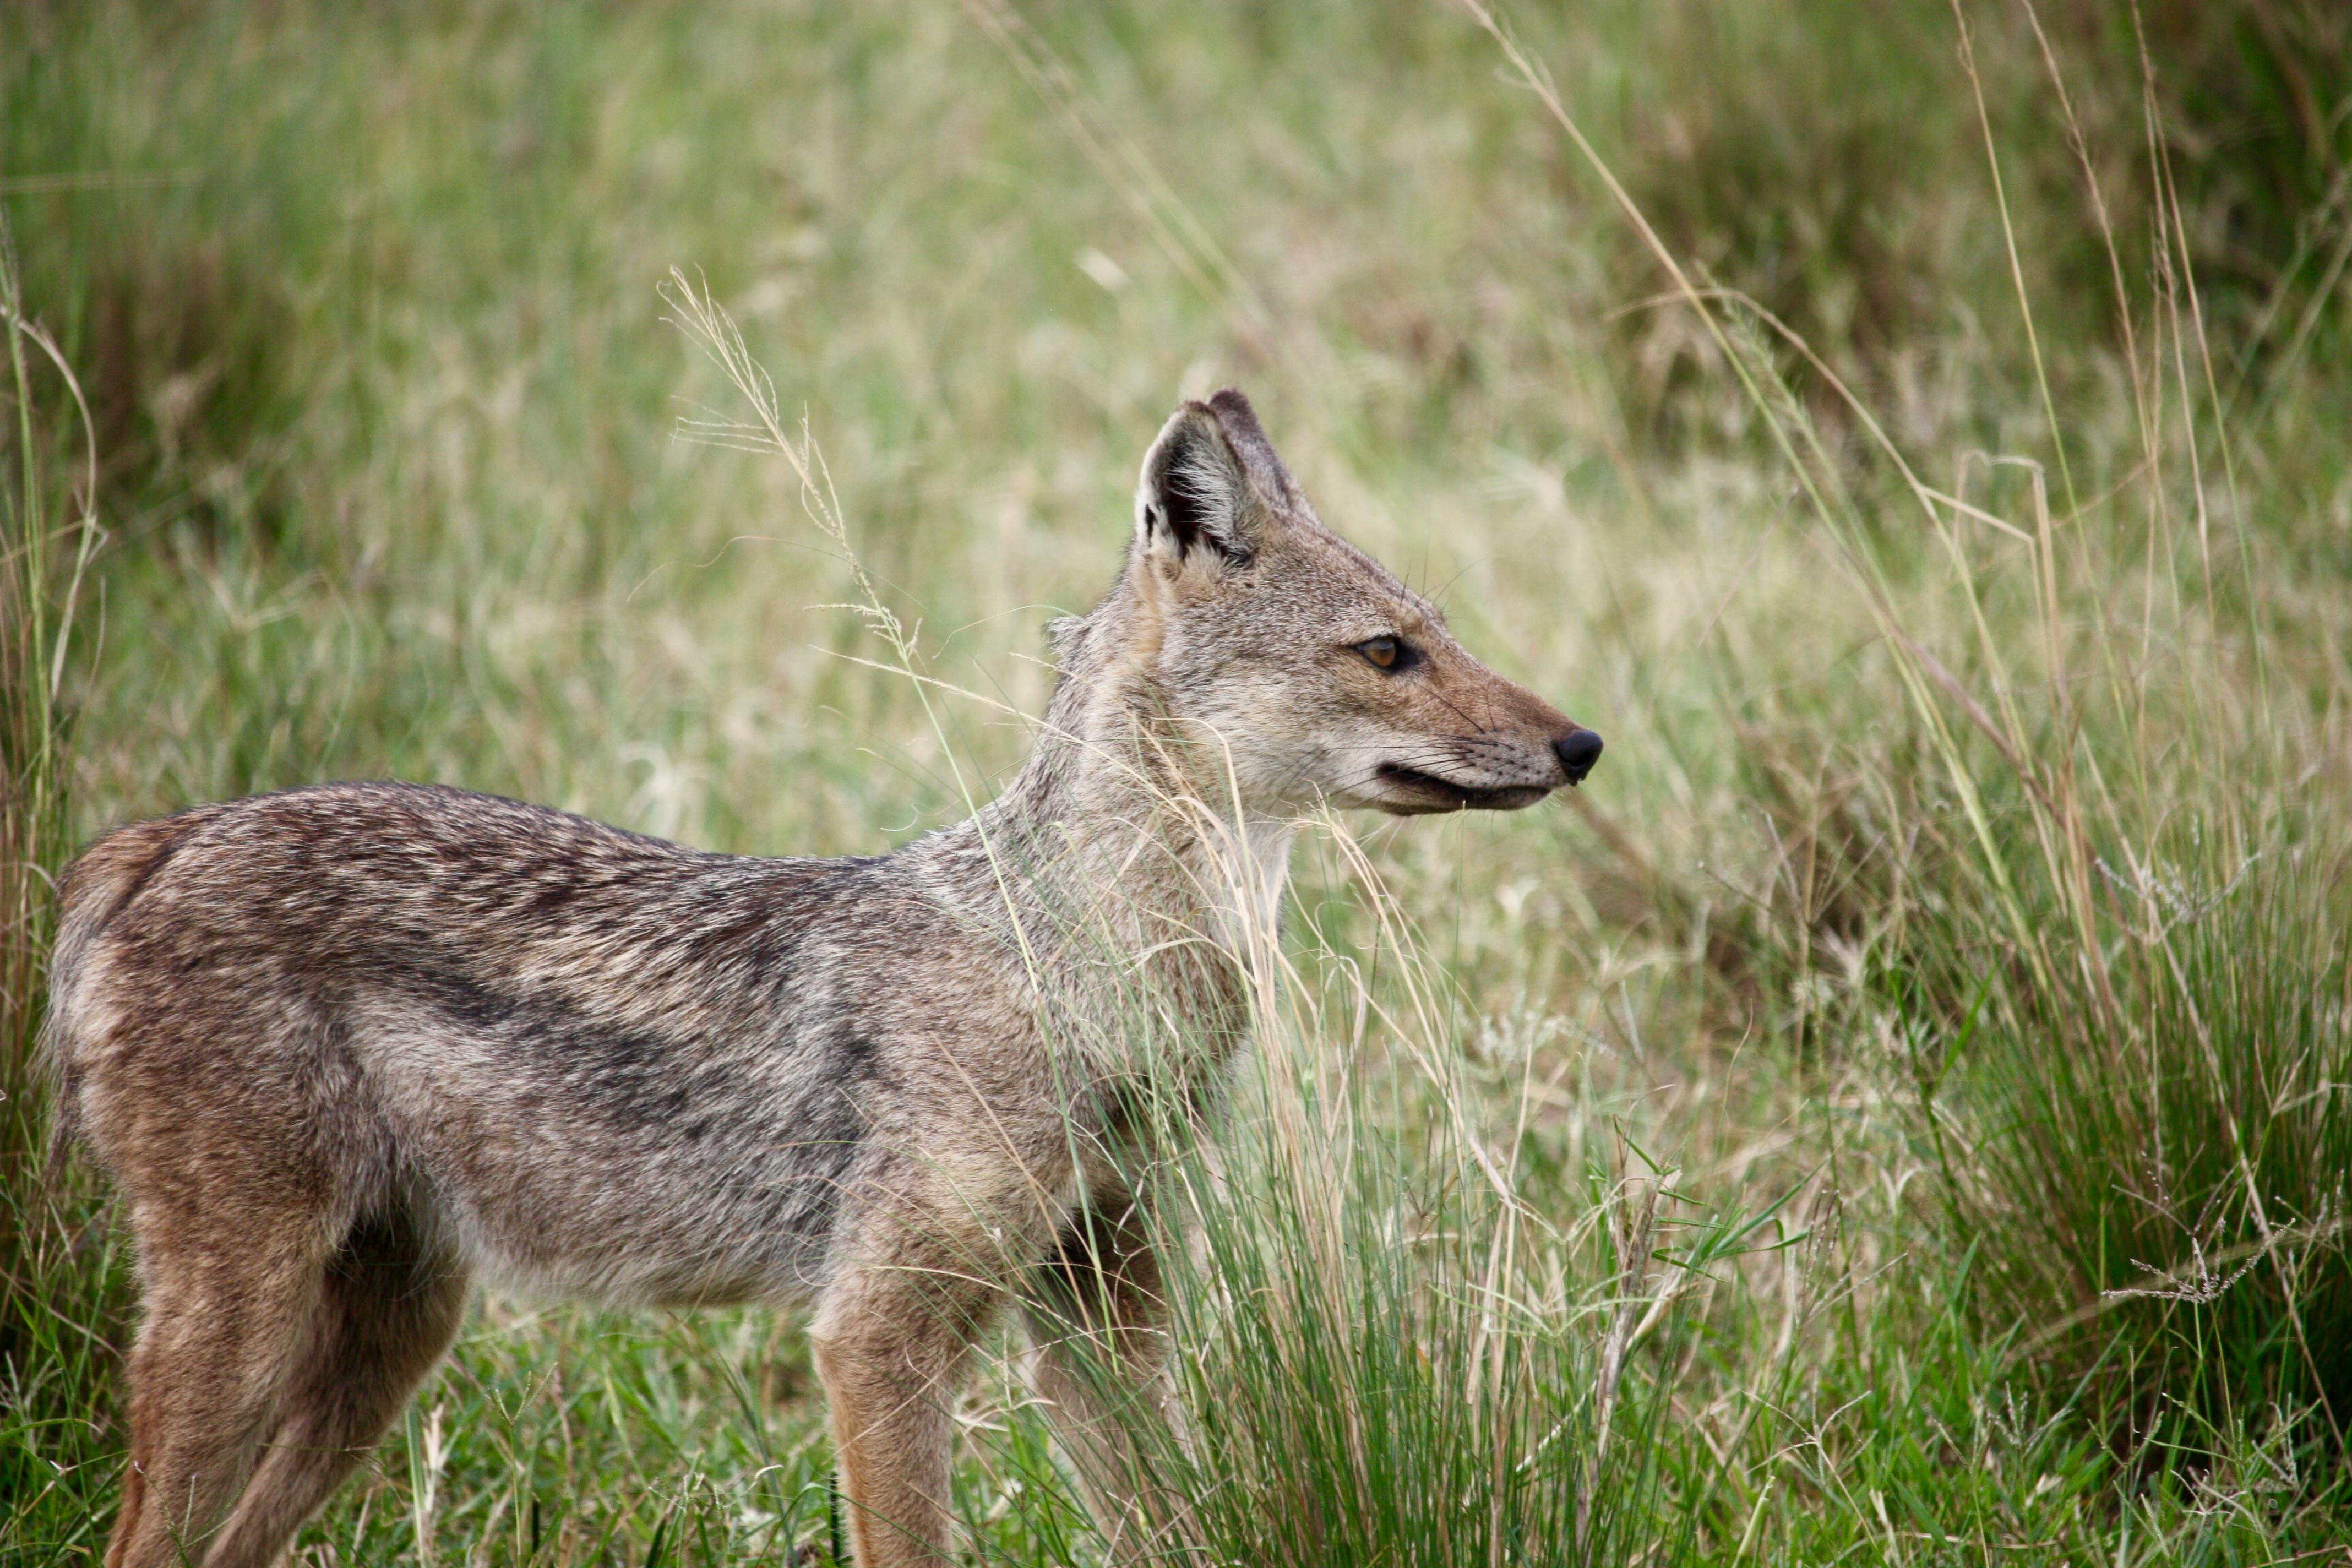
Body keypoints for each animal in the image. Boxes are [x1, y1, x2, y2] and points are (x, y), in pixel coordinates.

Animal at [43, 388, 1602, 1568]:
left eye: (1442, 633)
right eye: (1387, 653)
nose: (1583, 741)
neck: (1089, 970)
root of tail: (160, 837)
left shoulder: (1106, 1310)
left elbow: (1166, 1524)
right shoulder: (875, 1333)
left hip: (387, 1343)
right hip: (245, 1325)